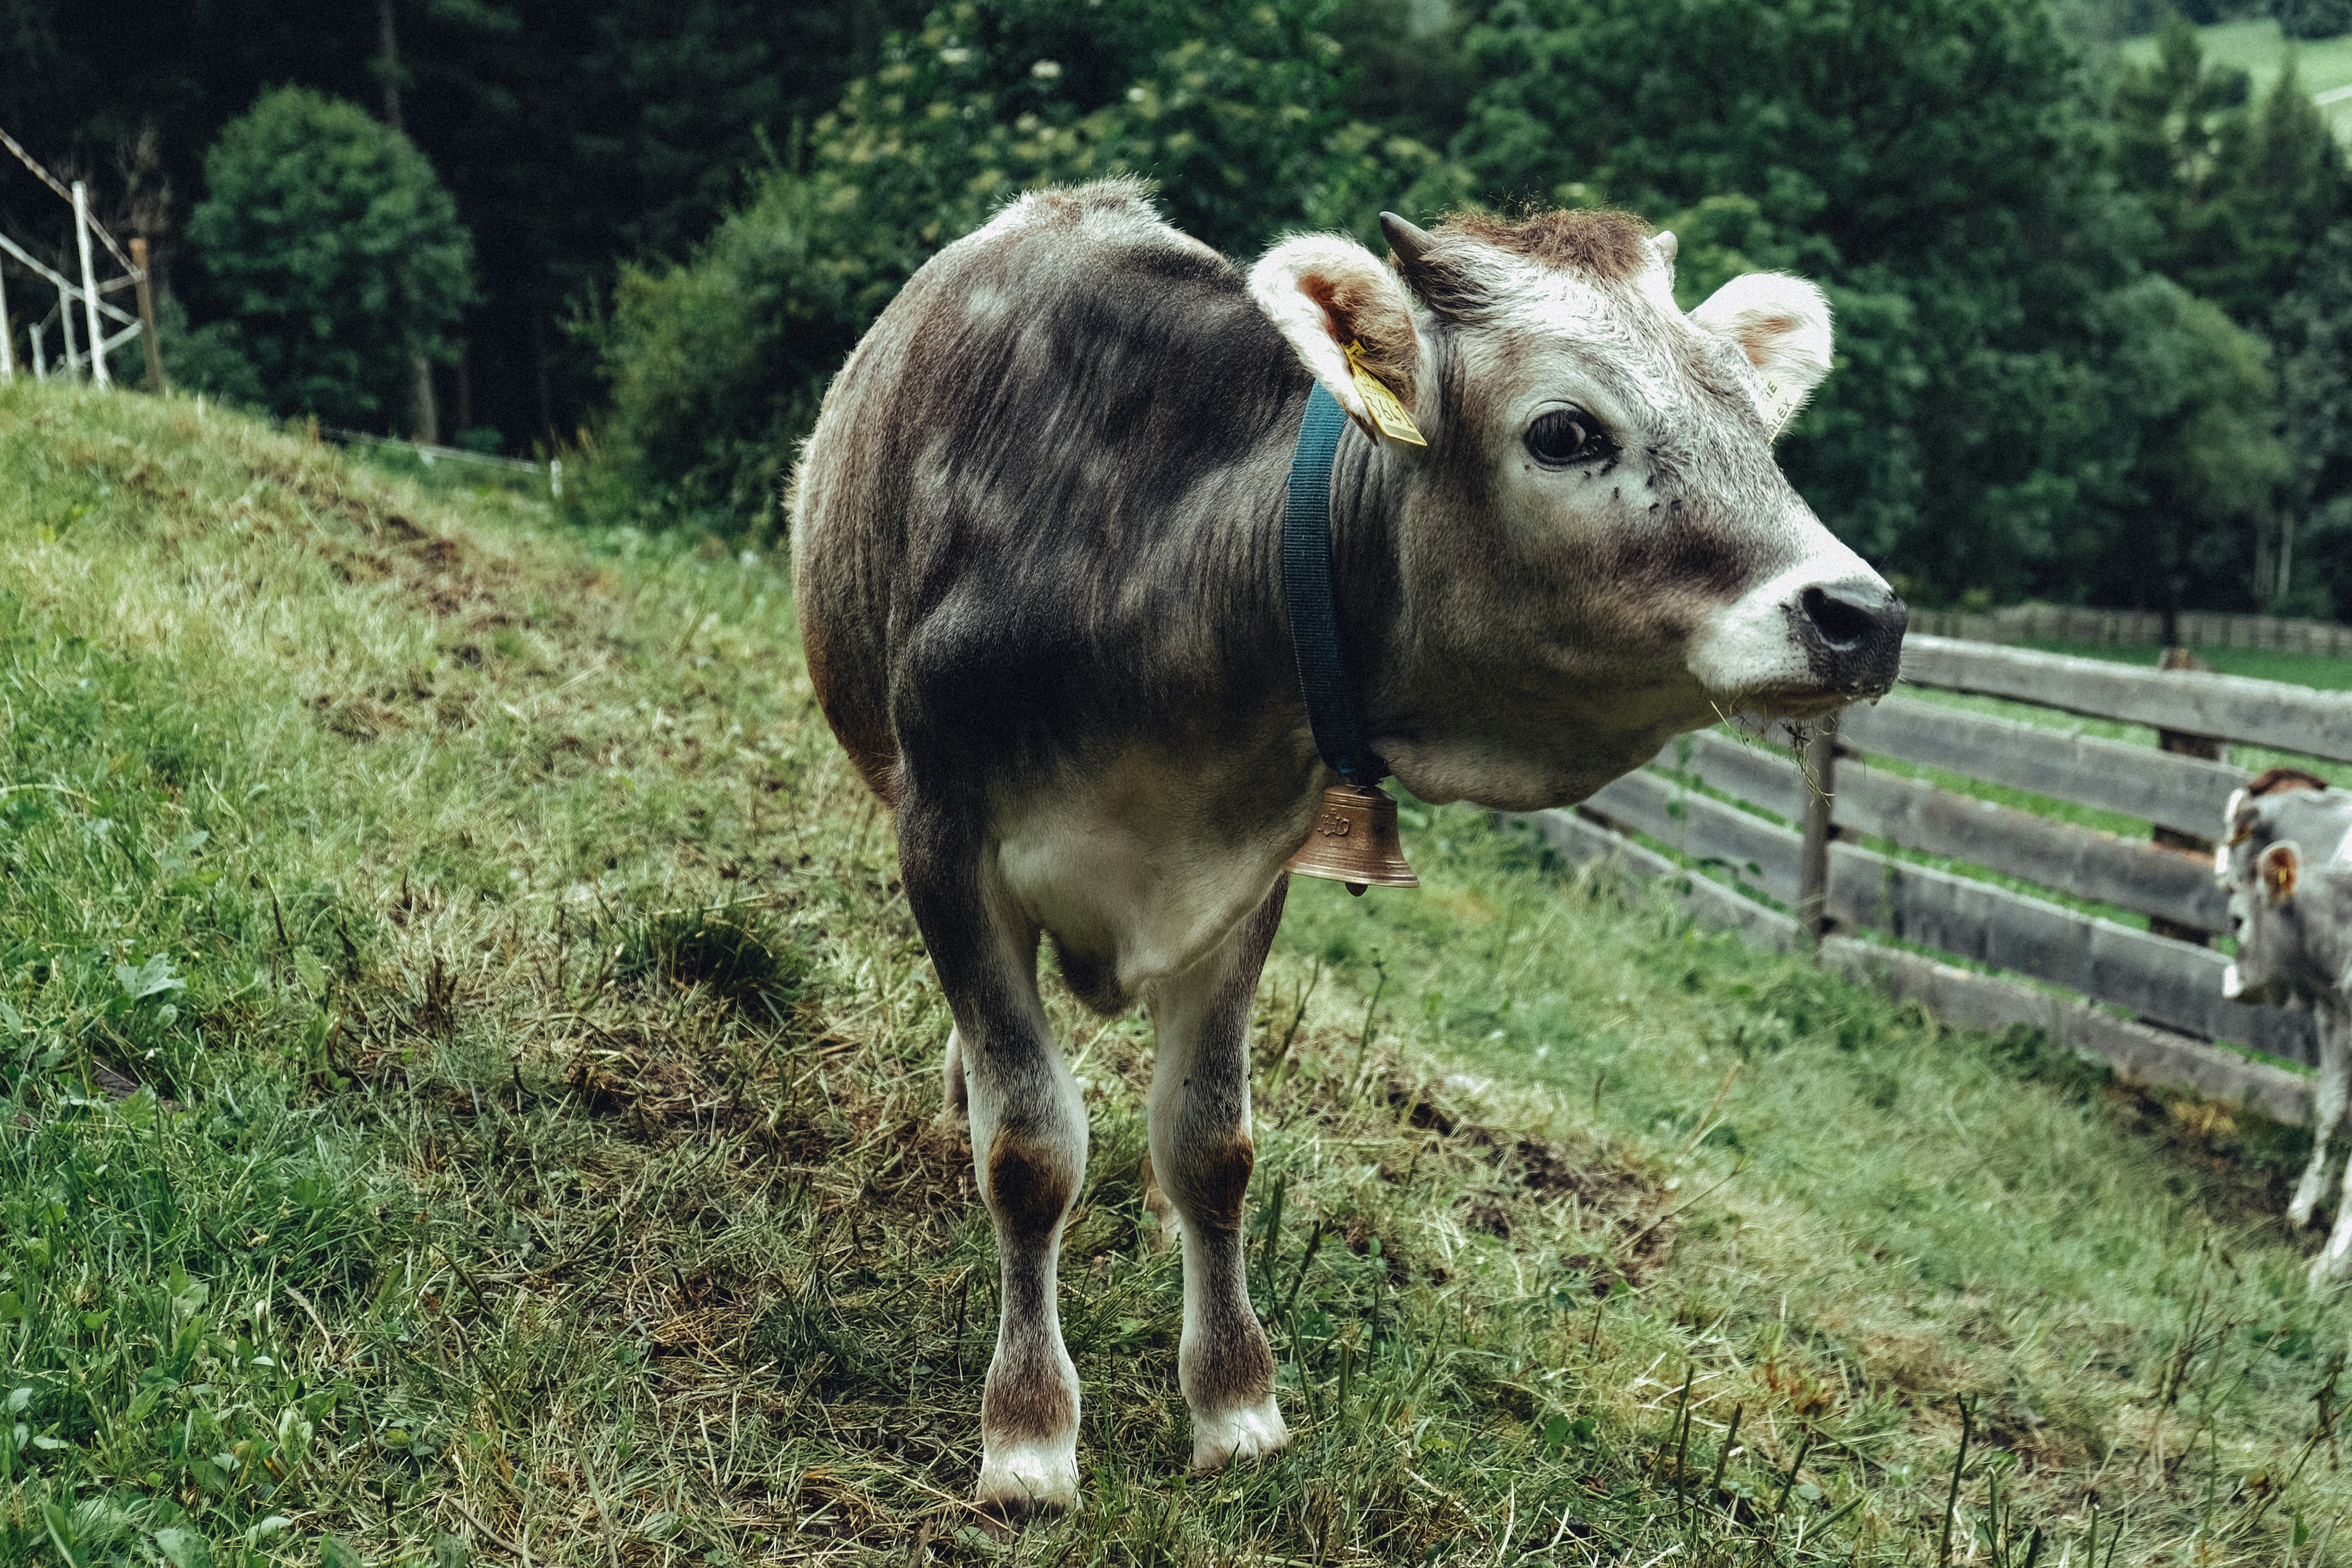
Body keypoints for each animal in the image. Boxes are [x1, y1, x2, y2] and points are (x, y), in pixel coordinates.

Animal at [789, 179, 1906, 1516]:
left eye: (1751, 417)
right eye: (1564, 432)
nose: (1859, 615)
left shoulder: (1244, 872)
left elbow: (1209, 1144)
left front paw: (1234, 1406)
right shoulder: (946, 838)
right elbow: (1029, 1146)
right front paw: (1026, 1433)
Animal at [2217, 766, 2352, 1284]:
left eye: (2237, 921)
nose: (2231, 983)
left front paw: (2328, 1266)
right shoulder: (2335, 1016)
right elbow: (2330, 1110)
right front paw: (2302, 1209)